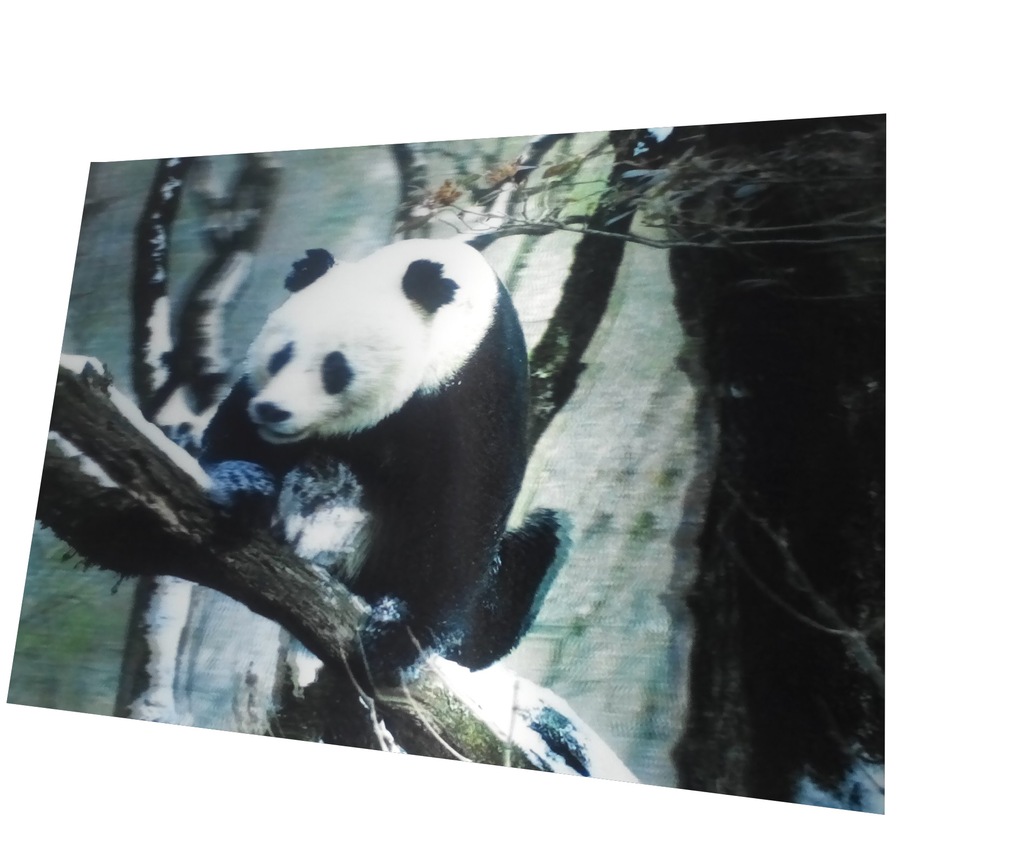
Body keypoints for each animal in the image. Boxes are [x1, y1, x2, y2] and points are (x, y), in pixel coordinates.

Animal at [200, 239, 563, 680]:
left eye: (335, 368)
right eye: (281, 355)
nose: (274, 411)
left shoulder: (478, 393)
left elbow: (461, 523)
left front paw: (397, 639)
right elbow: (235, 434)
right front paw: (244, 487)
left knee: (537, 549)